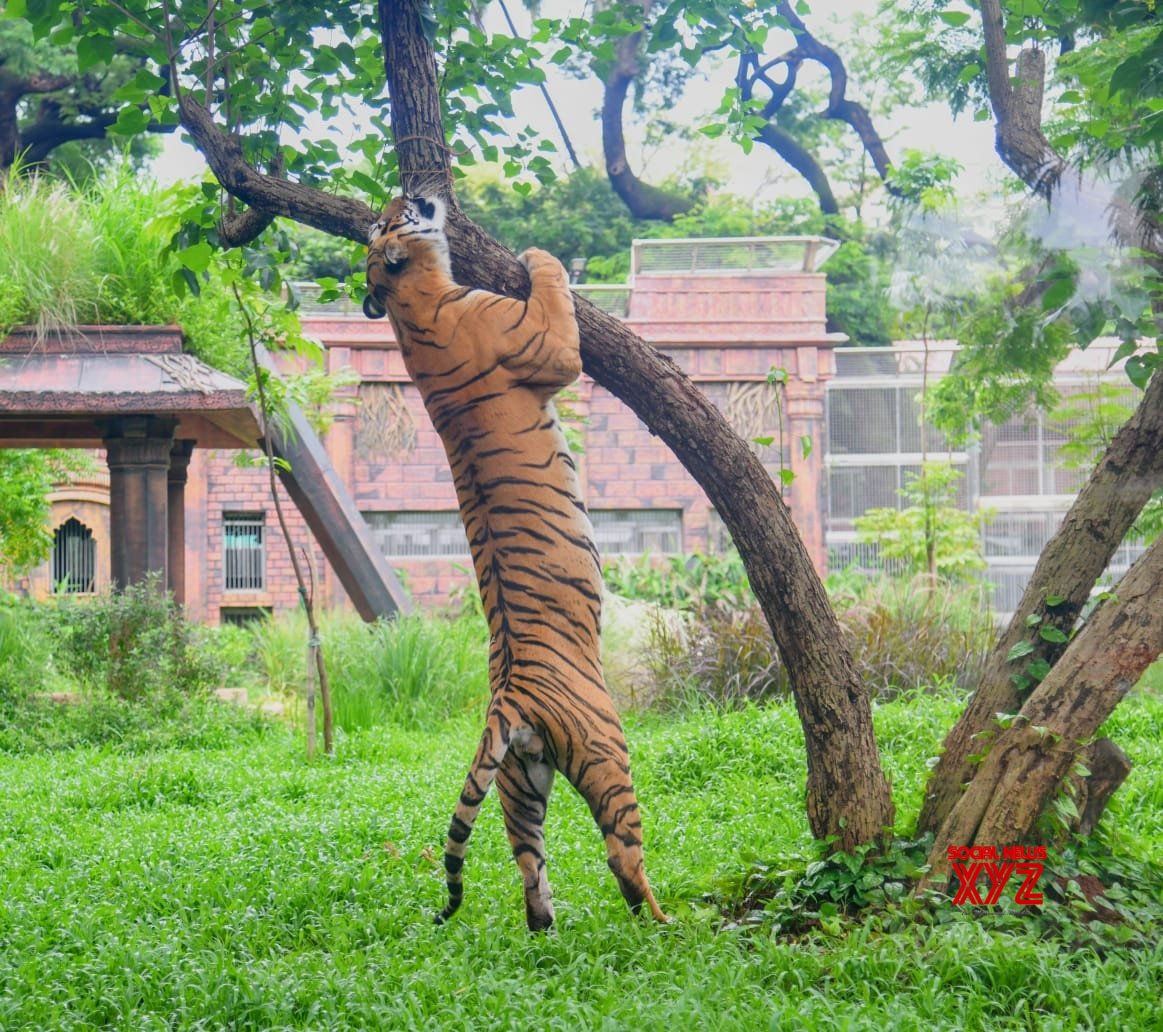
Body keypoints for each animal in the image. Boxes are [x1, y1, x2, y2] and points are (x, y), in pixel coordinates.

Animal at [363, 194, 667, 931]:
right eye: (390, 215)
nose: (410, 194)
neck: (411, 302)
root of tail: (509, 699)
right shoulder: (548, 345)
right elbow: (551, 287)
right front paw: (538, 255)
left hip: (518, 782)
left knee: (529, 866)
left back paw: (547, 932)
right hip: (605, 748)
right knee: (621, 851)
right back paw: (666, 922)